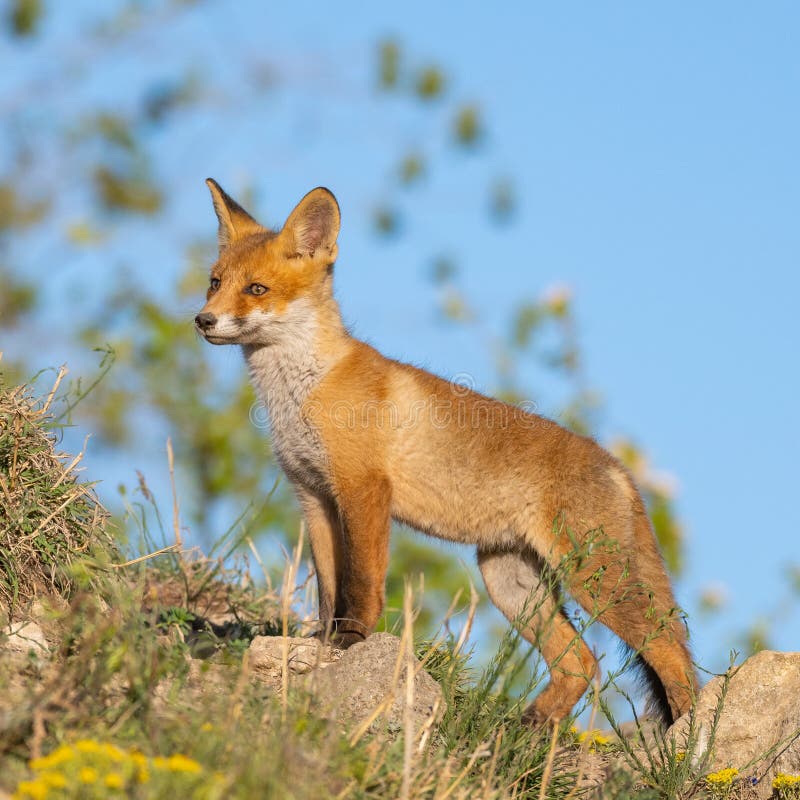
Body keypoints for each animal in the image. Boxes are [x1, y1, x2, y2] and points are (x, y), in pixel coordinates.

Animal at [194, 179, 697, 726]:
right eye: (215, 282)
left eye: (256, 290)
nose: (202, 320)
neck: (301, 390)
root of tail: (617, 466)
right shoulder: (313, 496)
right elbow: (329, 588)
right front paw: (321, 642)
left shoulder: (363, 491)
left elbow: (361, 582)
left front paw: (352, 643)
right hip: (510, 583)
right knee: (582, 664)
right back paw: (521, 731)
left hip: (594, 581)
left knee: (671, 655)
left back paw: (691, 736)